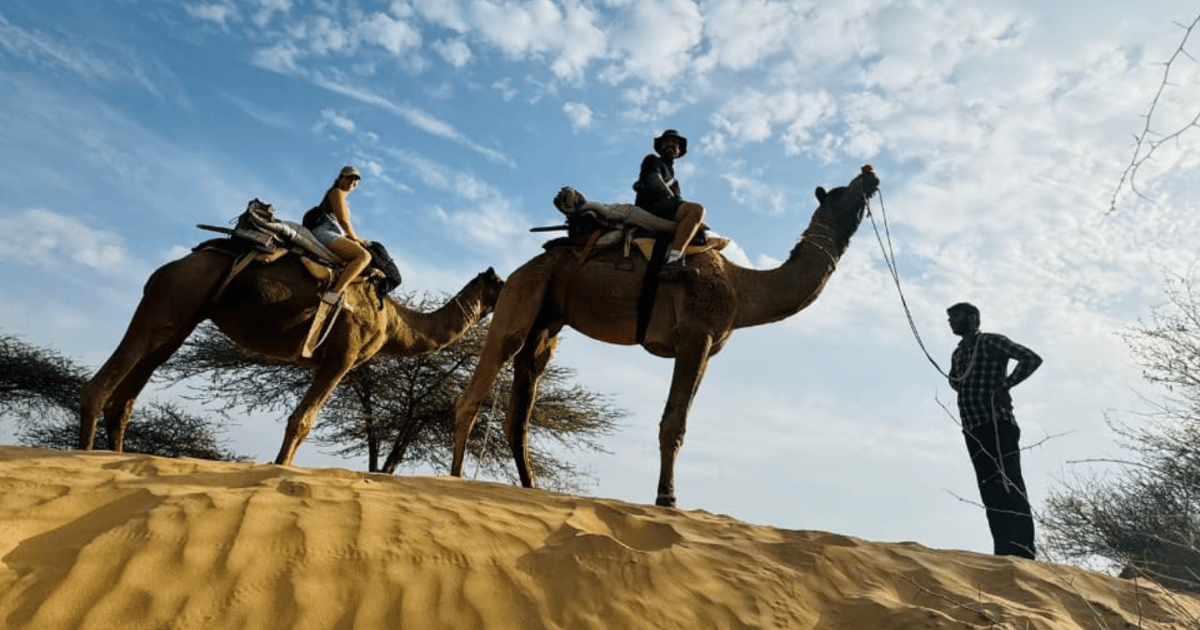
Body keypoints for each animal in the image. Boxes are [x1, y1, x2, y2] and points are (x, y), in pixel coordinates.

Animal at [80, 241, 503, 466]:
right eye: (503, 283)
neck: (393, 320)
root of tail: (172, 265)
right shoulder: (342, 358)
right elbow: (301, 422)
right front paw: (279, 471)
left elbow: (299, 421)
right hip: (171, 296)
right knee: (100, 386)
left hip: (183, 320)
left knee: (127, 396)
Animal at [451, 165, 879, 507]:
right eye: (842, 192)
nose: (870, 175)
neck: (743, 289)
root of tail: (524, 265)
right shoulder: (695, 334)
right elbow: (673, 423)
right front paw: (667, 499)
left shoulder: (706, 347)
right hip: (523, 292)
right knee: (483, 378)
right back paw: (455, 479)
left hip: (547, 319)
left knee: (522, 404)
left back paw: (531, 489)